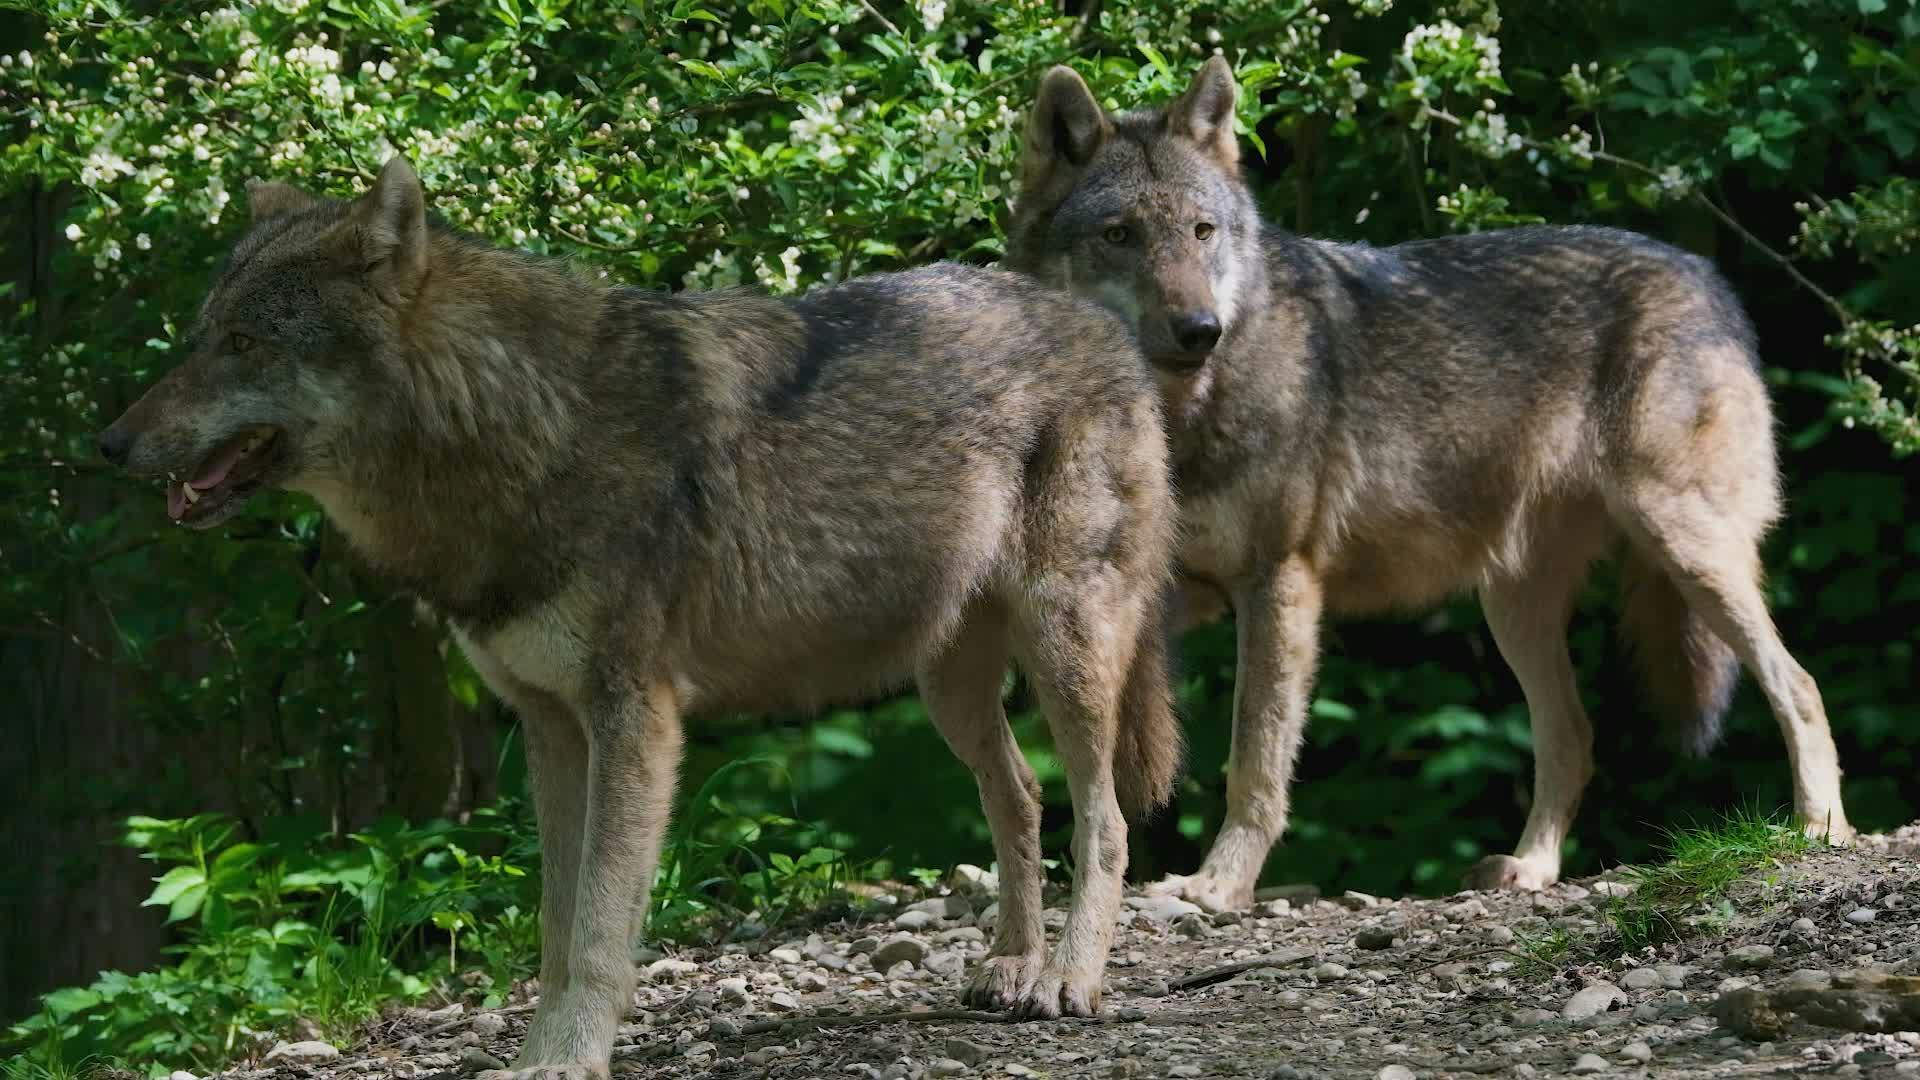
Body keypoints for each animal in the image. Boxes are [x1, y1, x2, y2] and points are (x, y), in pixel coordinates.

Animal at [97, 156, 1182, 1078]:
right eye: (201, 338)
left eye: (244, 345)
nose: (108, 443)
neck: (525, 428)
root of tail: (1098, 324)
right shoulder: (548, 724)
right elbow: (553, 925)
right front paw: (540, 1055)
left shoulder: (634, 719)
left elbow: (598, 928)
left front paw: (570, 1058)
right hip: (946, 686)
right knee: (1020, 795)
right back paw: (1008, 966)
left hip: (1066, 654)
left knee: (1104, 820)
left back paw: (1066, 979)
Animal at [1003, 56, 1853, 912]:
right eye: (1120, 235)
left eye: (1201, 232)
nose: (1199, 330)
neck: (1181, 413)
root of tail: (1708, 277)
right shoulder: (1128, 599)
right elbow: (1110, 758)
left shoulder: (1279, 582)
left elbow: (1255, 759)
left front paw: (1217, 885)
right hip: (1514, 605)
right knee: (1574, 738)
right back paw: (1531, 869)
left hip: (1684, 547)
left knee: (1801, 684)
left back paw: (1820, 829)